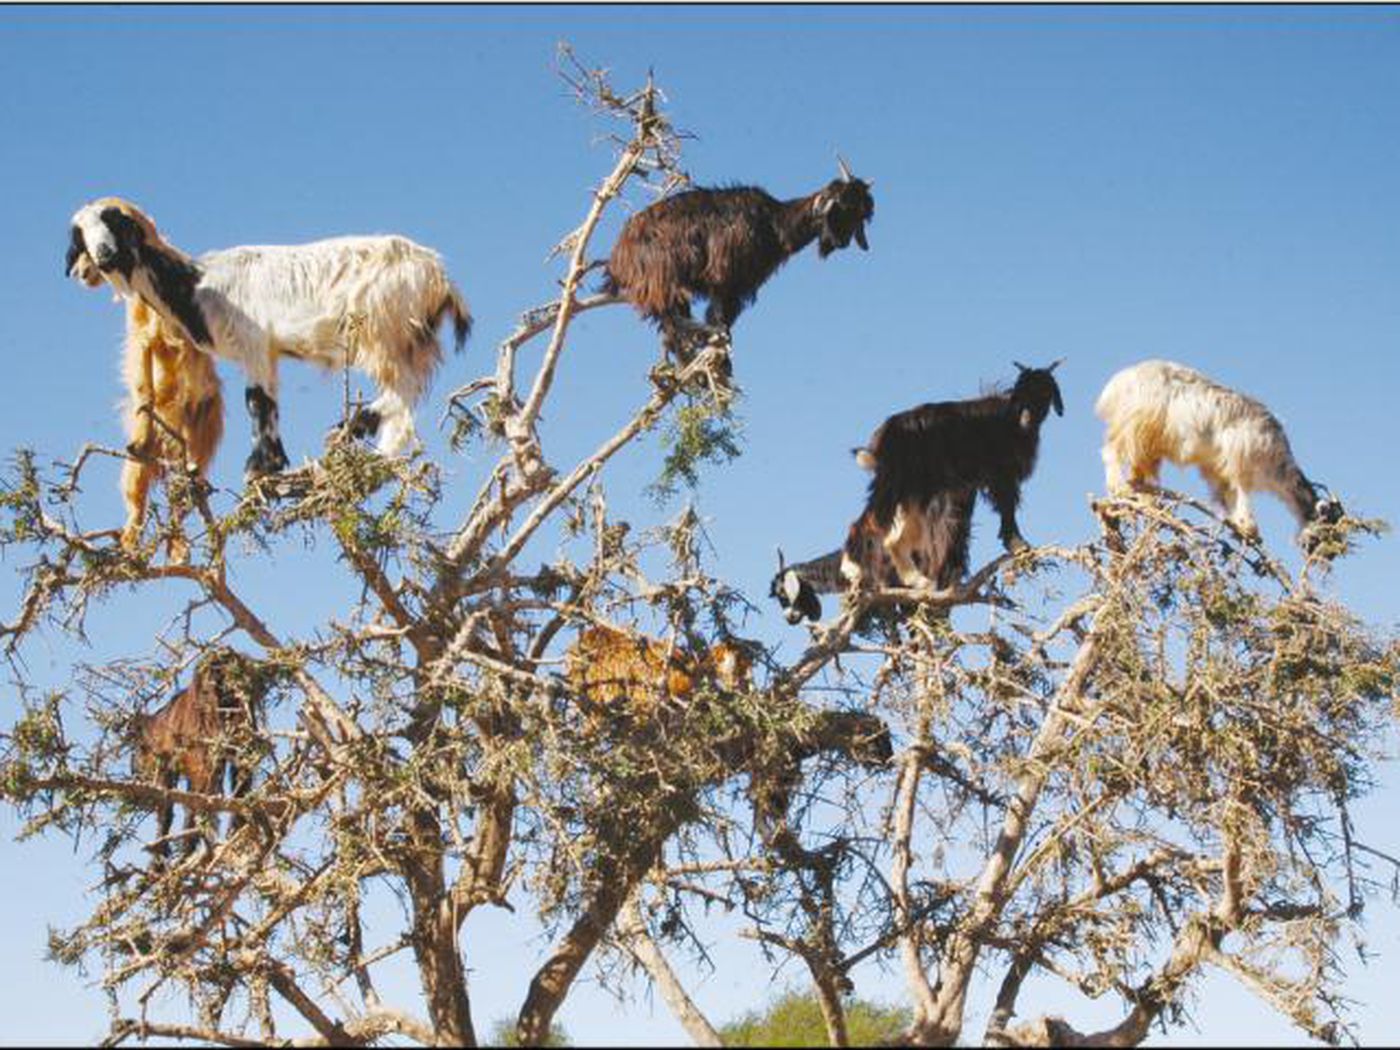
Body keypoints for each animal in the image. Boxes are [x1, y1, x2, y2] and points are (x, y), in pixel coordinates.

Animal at [68, 197, 471, 480]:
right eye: (81, 235)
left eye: (115, 223)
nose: (103, 256)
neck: (197, 284)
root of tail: (440, 277)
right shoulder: (269, 352)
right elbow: (267, 401)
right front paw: (271, 463)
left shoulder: (254, 344)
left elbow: (256, 402)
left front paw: (260, 467)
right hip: (408, 340)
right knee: (408, 394)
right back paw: (374, 447)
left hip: (383, 331)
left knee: (404, 388)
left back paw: (356, 434)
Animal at [130, 648, 267, 865]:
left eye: (137, 750)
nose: (134, 771)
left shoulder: (172, 767)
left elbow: (167, 811)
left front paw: (160, 856)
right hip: (242, 734)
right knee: (241, 781)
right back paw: (236, 826)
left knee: (203, 800)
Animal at [602, 157, 873, 360]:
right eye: (842, 207)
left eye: (863, 213)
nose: (842, 242)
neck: (775, 223)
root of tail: (618, 254)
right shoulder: (724, 279)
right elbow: (719, 317)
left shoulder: (740, 287)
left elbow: (723, 317)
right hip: (662, 279)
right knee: (672, 320)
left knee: (670, 326)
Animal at [852, 362, 1064, 590]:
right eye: (1021, 390)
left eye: (1045, 392)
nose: (1027, 418)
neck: (1010, 420)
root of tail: (880, 439)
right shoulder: (1001, 474)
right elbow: (1007, 508)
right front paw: (1019, 545)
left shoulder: (970, 486)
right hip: (896, 485)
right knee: (867, 525)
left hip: (912, 491)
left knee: (892, 538)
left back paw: (918, 579)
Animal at [1094, 359, 1342, 542]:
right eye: (1327, 525)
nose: (1327, 557)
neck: (1278, 462)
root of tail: (1119, 381)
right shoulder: (1241, 458)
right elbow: (1242, 489)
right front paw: (1250, 528)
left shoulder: (1216, 469)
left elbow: (1226, 495)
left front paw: (1238, 526)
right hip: (1134, 426)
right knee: (1111, 451)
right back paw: (1119, 489)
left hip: (1148, 442)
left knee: (1139, 470)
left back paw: (1147, 501)